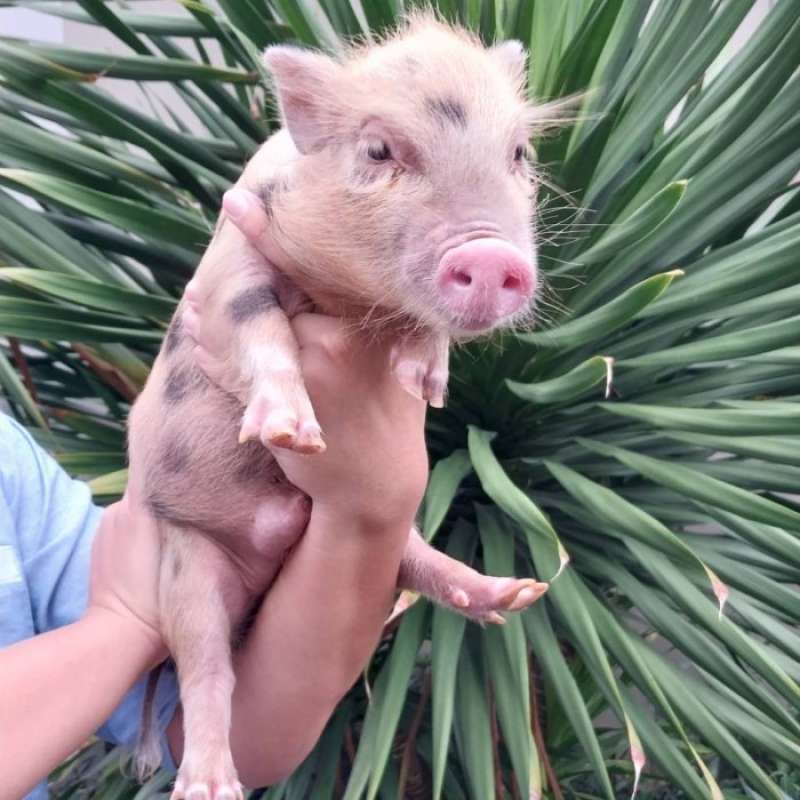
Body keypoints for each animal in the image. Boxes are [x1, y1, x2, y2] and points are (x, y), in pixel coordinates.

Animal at [127, 13, 550, 799]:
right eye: (379, 150)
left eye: (520, 154)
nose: (490, 255)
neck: (346, 295)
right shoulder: (231, 253)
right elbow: (254, 319)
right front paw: (293, 435)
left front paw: (425, 383)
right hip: (186, 563)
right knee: (203, 671)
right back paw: (198, 782)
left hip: (383, 542)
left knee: (417, 564)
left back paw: (514, 595)